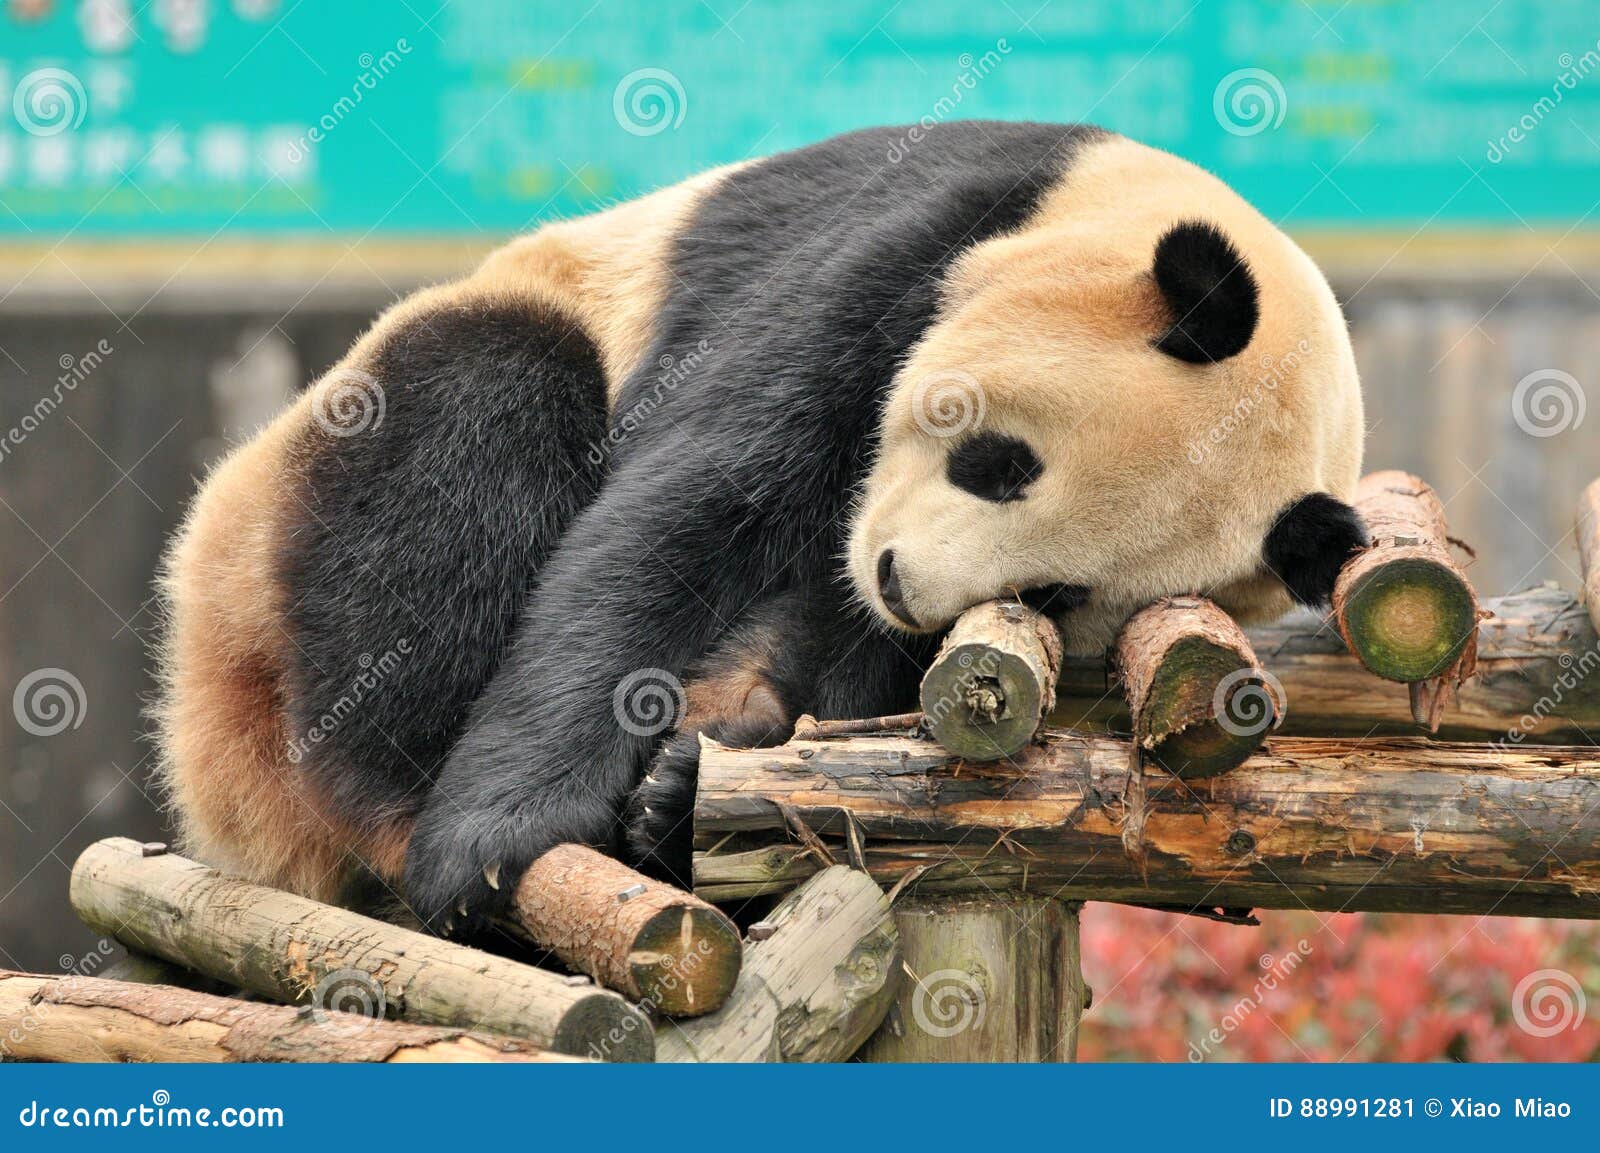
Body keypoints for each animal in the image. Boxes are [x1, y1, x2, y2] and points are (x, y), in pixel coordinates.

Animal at [154, 122, 1366, 934]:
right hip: (290, 517)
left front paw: (692, 777)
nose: (898, 577)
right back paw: (417, 806)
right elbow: (696, 501)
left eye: (1056, 594)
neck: (1114, 205)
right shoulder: (920, 239)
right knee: (465, 433)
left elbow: (852, 665)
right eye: (1000, 463)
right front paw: (494, 840)